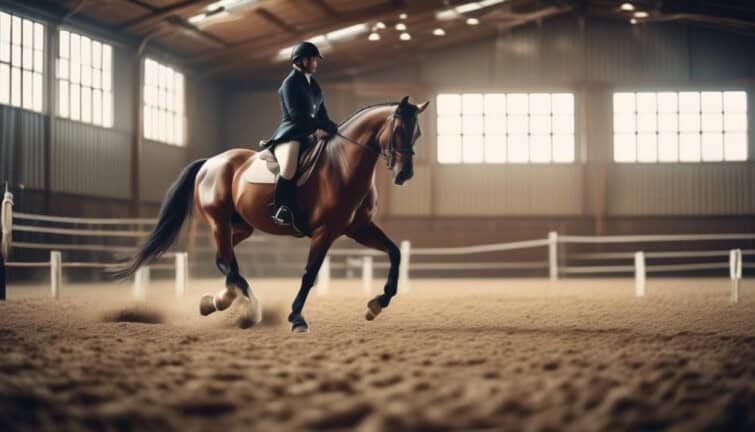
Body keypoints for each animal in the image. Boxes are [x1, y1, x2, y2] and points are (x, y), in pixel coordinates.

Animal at [115, 96, 429, 332]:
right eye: (398, 129)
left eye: (417, 133)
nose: (404, 174)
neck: (343, 164)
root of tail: (210, 162)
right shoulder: (325, 231)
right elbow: (309, 274)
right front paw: (297, 318)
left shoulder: (358, 228)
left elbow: (395, 253)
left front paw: (377, 303)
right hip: (218, 220)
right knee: (226, 261)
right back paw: (248, 309)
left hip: (240, 226)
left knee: (225, 261)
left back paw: (218, 301)